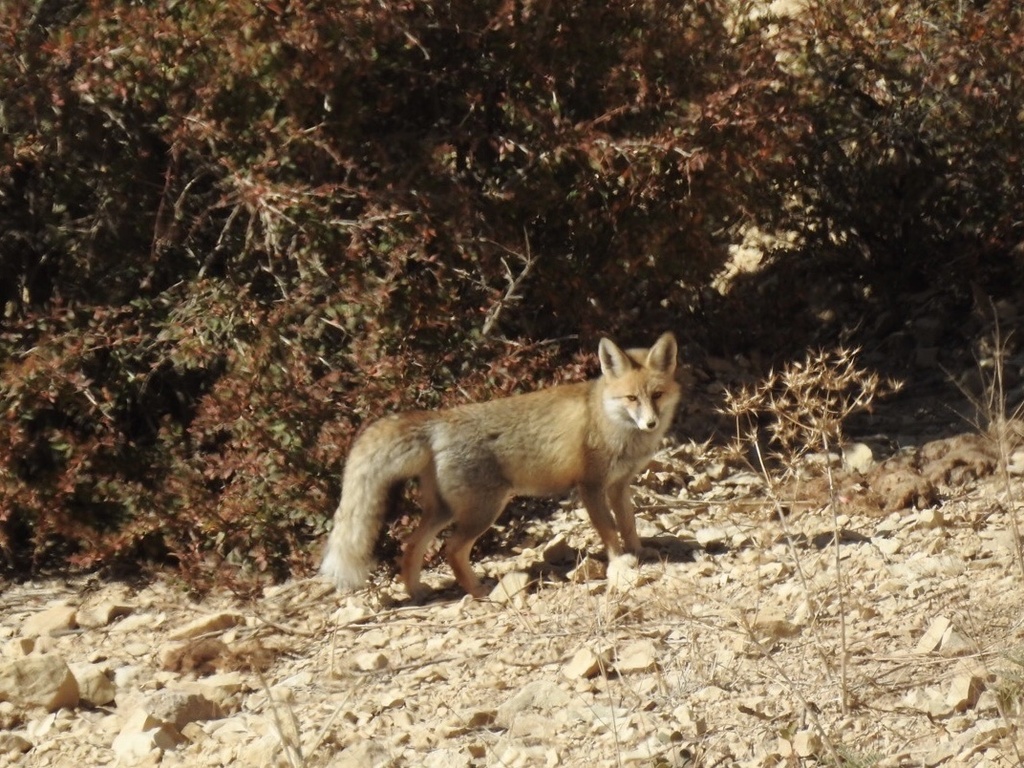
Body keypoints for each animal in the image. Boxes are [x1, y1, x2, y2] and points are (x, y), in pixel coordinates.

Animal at [320, 332, 680, 600]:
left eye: (657, 395)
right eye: (631, 399)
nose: (650, 423)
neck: (608, 419)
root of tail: (438, 420)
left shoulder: (619, 485)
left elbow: (628, 524)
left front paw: (639, 551)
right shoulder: (590, 487)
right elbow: (609, 530)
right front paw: (620, 562)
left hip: (445, 511)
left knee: (411, 546)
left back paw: (417, 591)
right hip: (484, 511)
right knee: (451, 550)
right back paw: (479, 592)